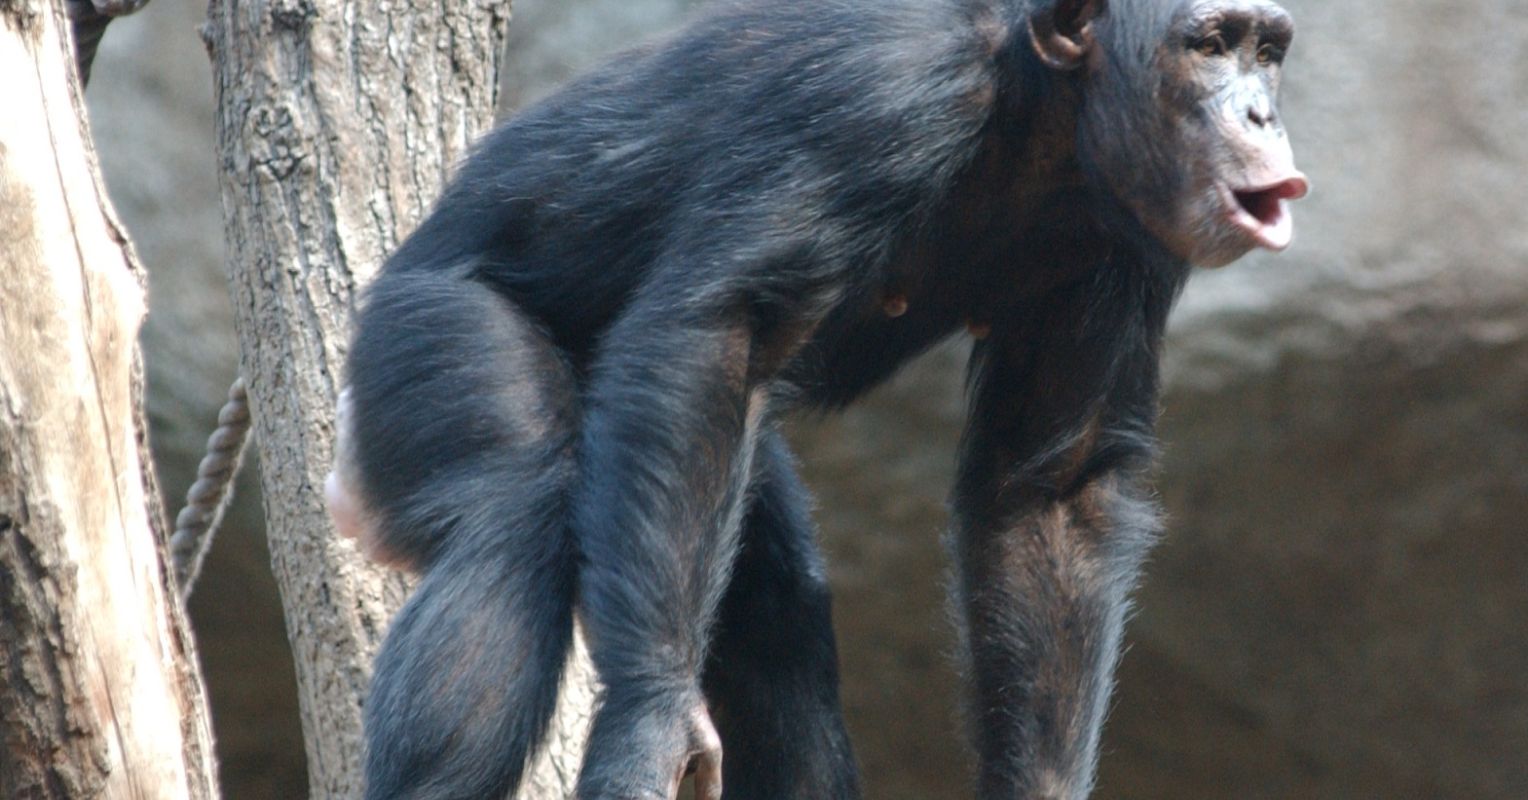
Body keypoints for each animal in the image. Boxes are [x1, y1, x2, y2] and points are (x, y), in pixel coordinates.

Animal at [327, 0, 1308, 797]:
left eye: (1266, 51)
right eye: (1209, 44)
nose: (1262, 110)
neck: (1043, 106)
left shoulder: (1133, 242)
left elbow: (1049, 492)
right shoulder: (876, 96)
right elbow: (722, 327)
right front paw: (653, 717)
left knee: (775, 608)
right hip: (422, 325)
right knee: (512, 509)